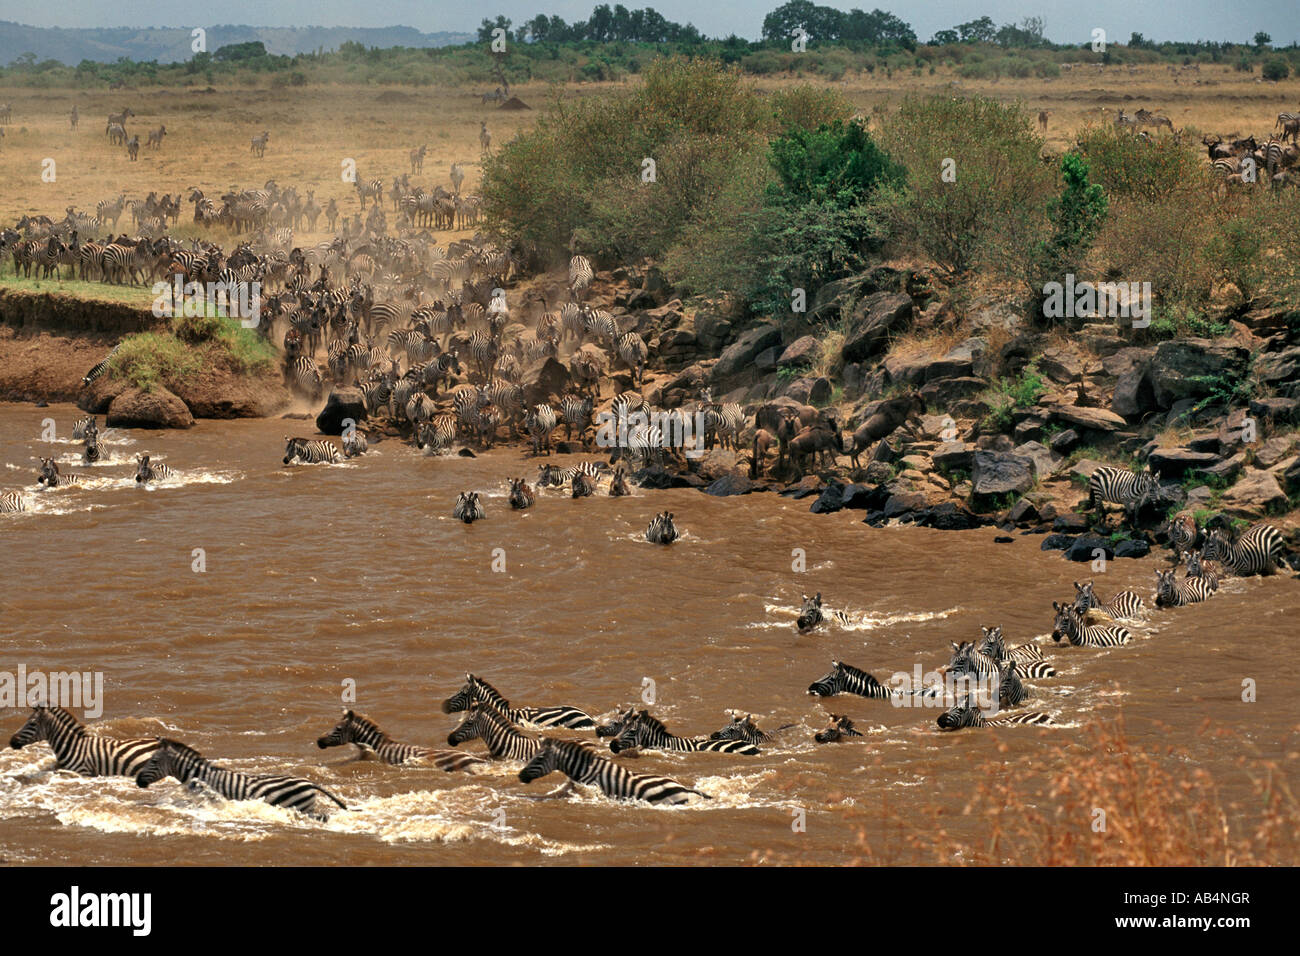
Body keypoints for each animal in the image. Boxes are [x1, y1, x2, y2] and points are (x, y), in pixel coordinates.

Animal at [135, 738, 346, 822]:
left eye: (153, 761)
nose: (138, 782)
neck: (202, 777)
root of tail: (310, 782)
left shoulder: (212, 800)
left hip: (300, 808)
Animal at [518, 737, 709, 805]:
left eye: (539, 758)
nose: (520, 776)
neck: (584, 769)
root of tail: (683, 787)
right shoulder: (571, 787)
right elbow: (550, 795)